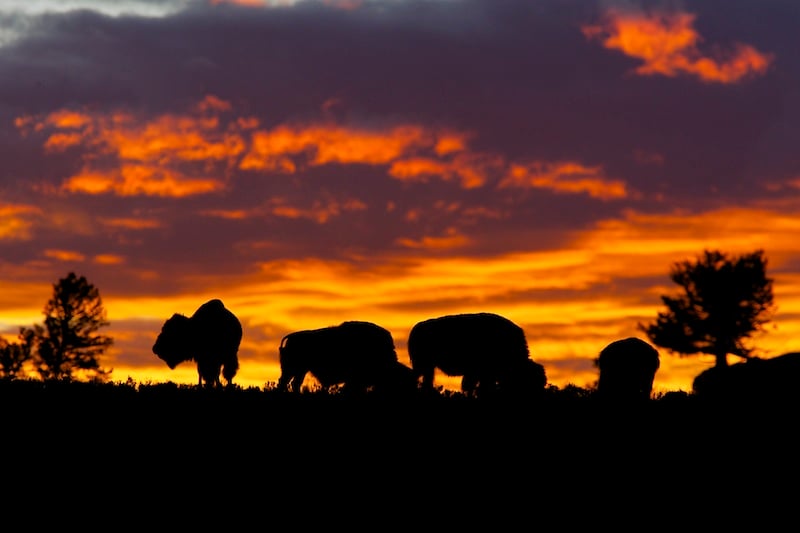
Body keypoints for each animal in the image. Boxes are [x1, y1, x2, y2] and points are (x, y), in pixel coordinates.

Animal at [278, 320, 416, 394]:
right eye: (404, 382)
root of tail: (291, 338)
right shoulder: (355, 380)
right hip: (292, 369)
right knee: (285, 382)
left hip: (301, 370)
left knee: (295, 383)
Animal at [407, 312, 547, 398]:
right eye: (530, 381)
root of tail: (416, 329)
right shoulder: (481, 373)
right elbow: (476, 387)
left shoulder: (480, 374)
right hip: (423, 365)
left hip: (428, 368)